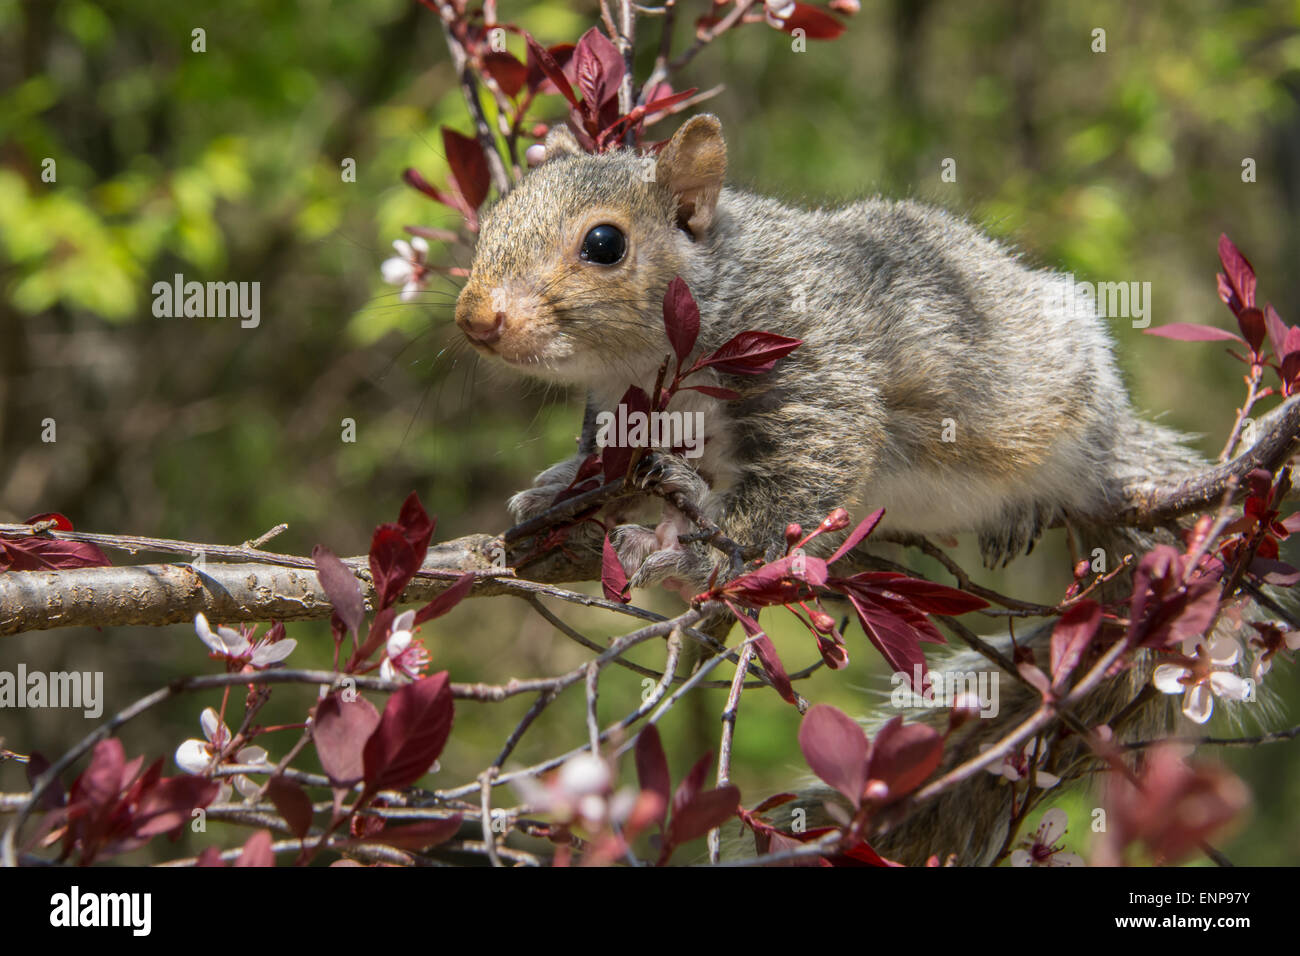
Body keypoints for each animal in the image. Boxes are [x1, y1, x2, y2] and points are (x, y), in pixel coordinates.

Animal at [453, 114, 1280, 864]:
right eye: (494, 216)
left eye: (605, 244)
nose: (475, 319)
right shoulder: (624, 416)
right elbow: (608, 462)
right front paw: (556, 492)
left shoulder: (817, 375)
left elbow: (788, 490)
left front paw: (685, 553)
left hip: (1069, 412)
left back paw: (1031, 505)